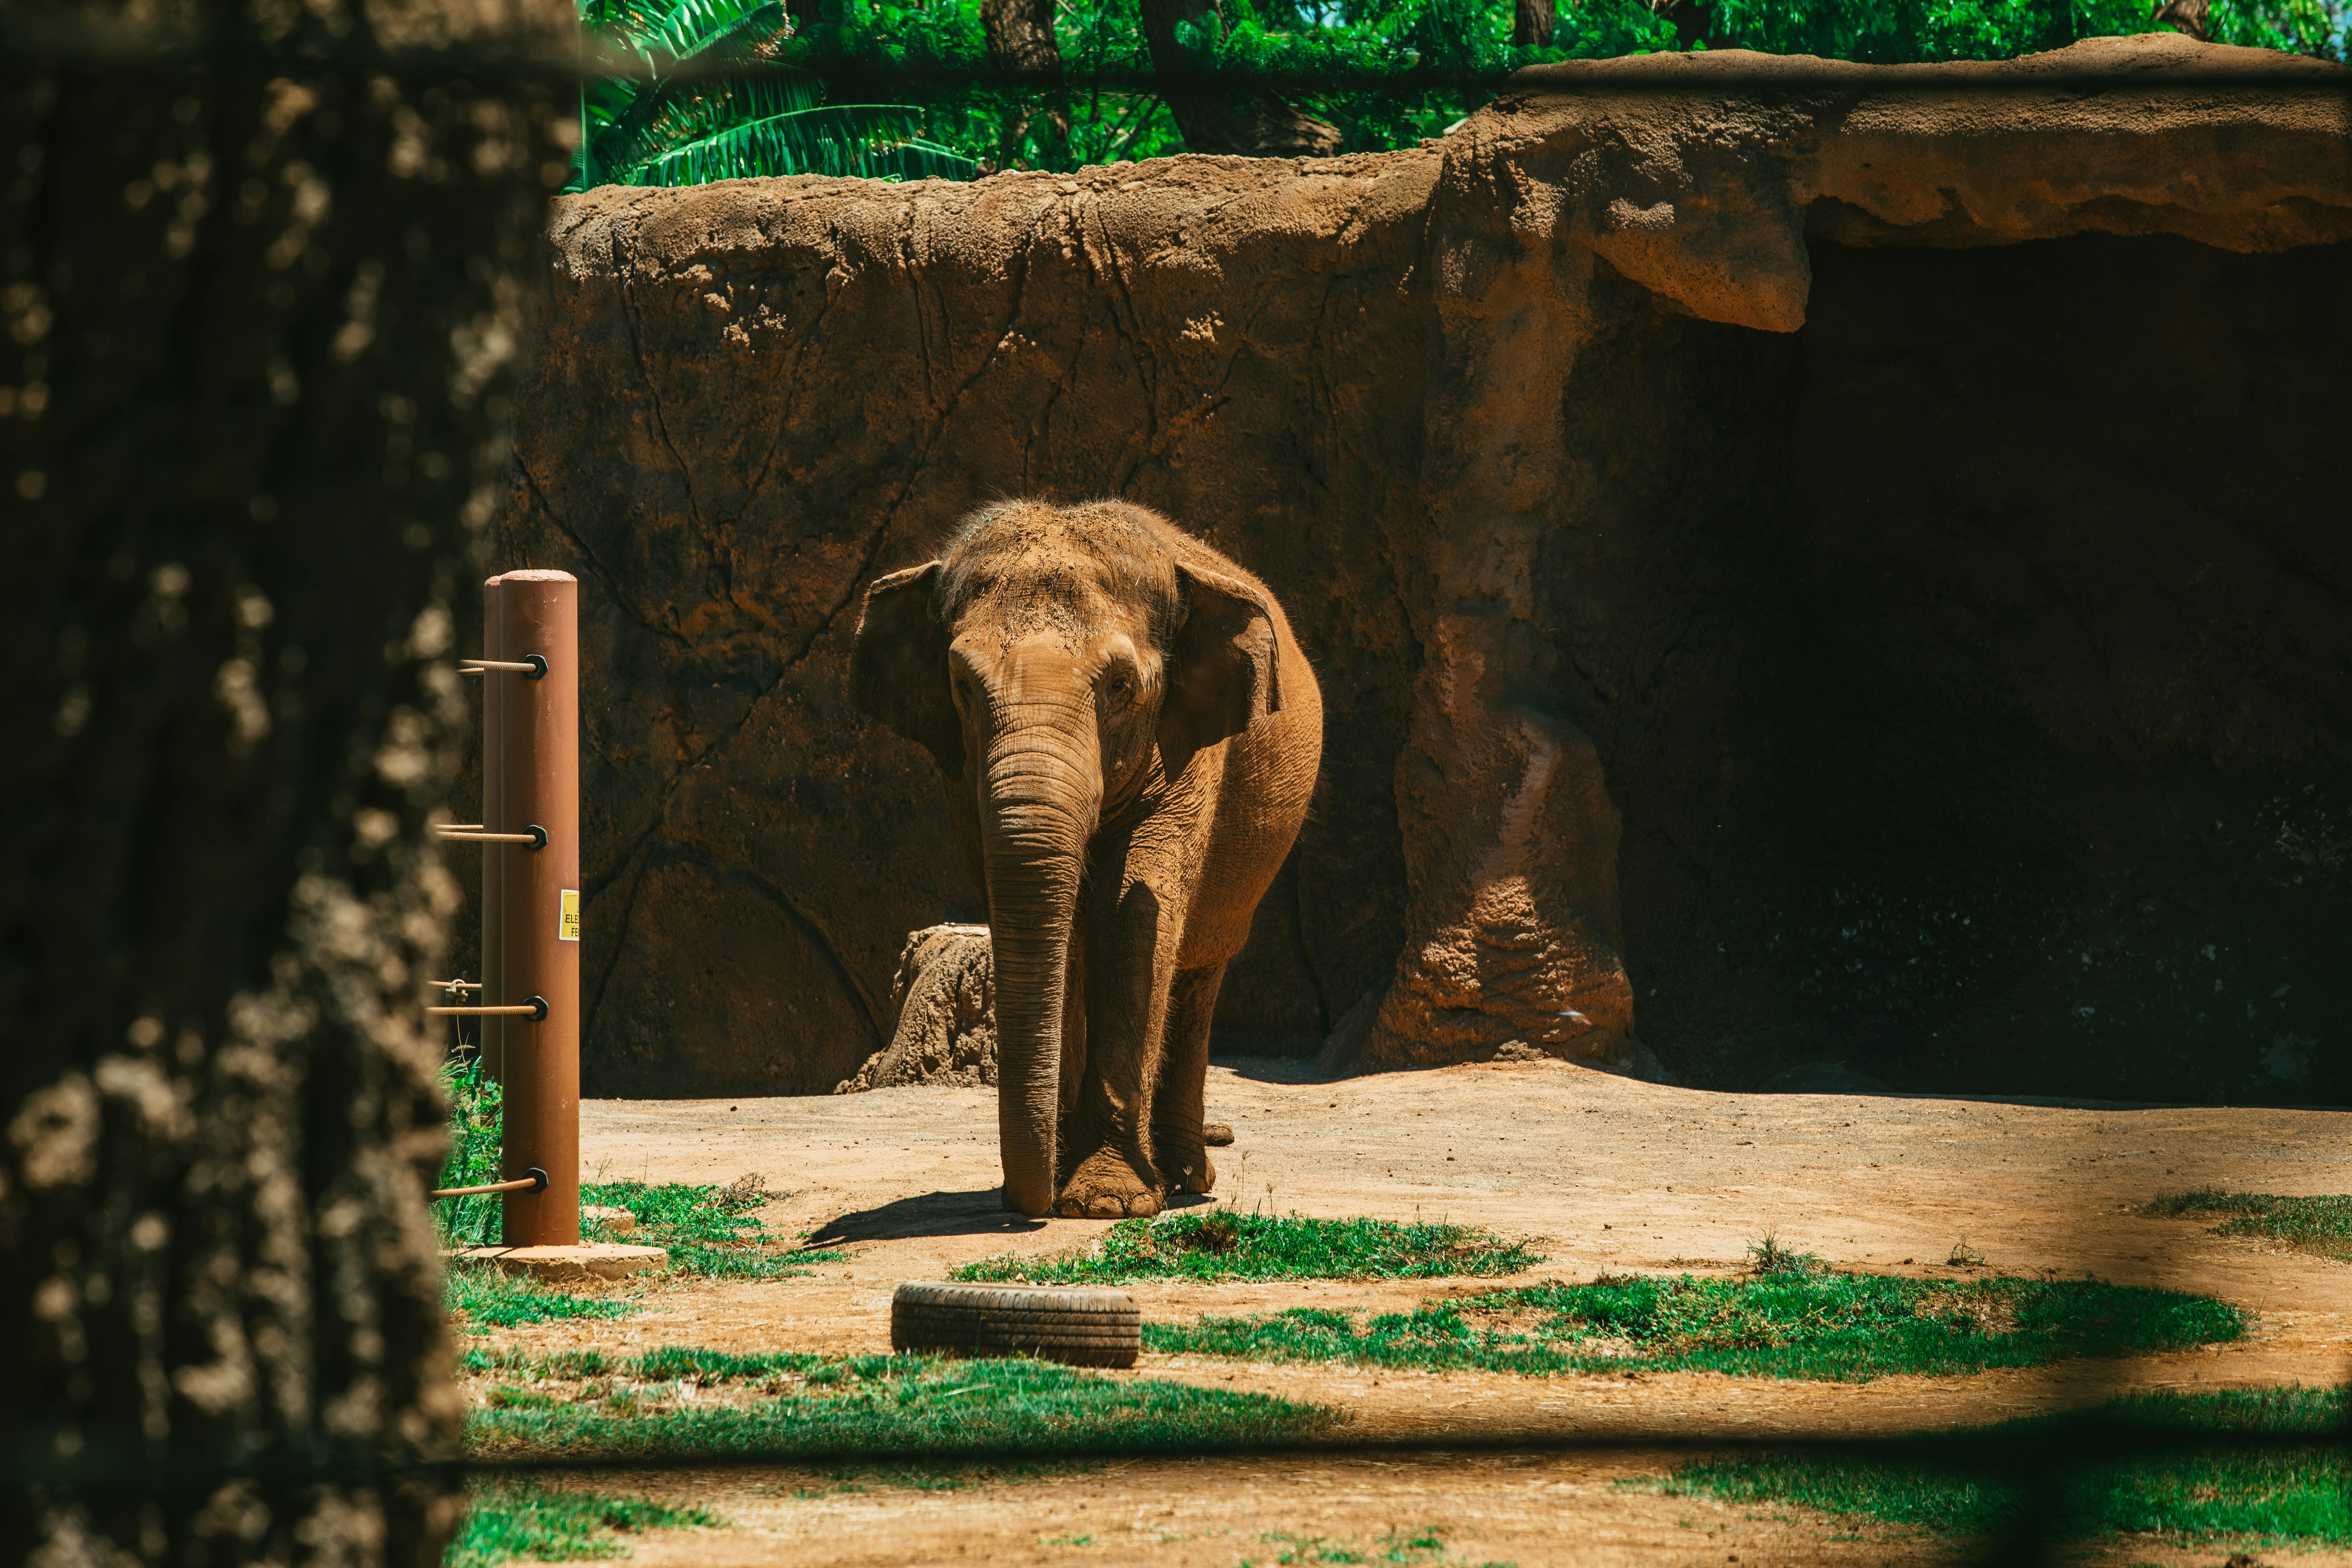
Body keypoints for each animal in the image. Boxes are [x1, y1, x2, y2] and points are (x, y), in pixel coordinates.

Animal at [850, 499, 1323, 1218]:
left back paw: (1186, 1181)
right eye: (961, 685)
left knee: (1199, 969)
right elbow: (1054, 920)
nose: (1026, 1204)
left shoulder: (1188, 746)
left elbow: (1135, 915)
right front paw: (1067, 1185)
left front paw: (1105, 1203)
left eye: (1122, 686)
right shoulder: (962, 769)